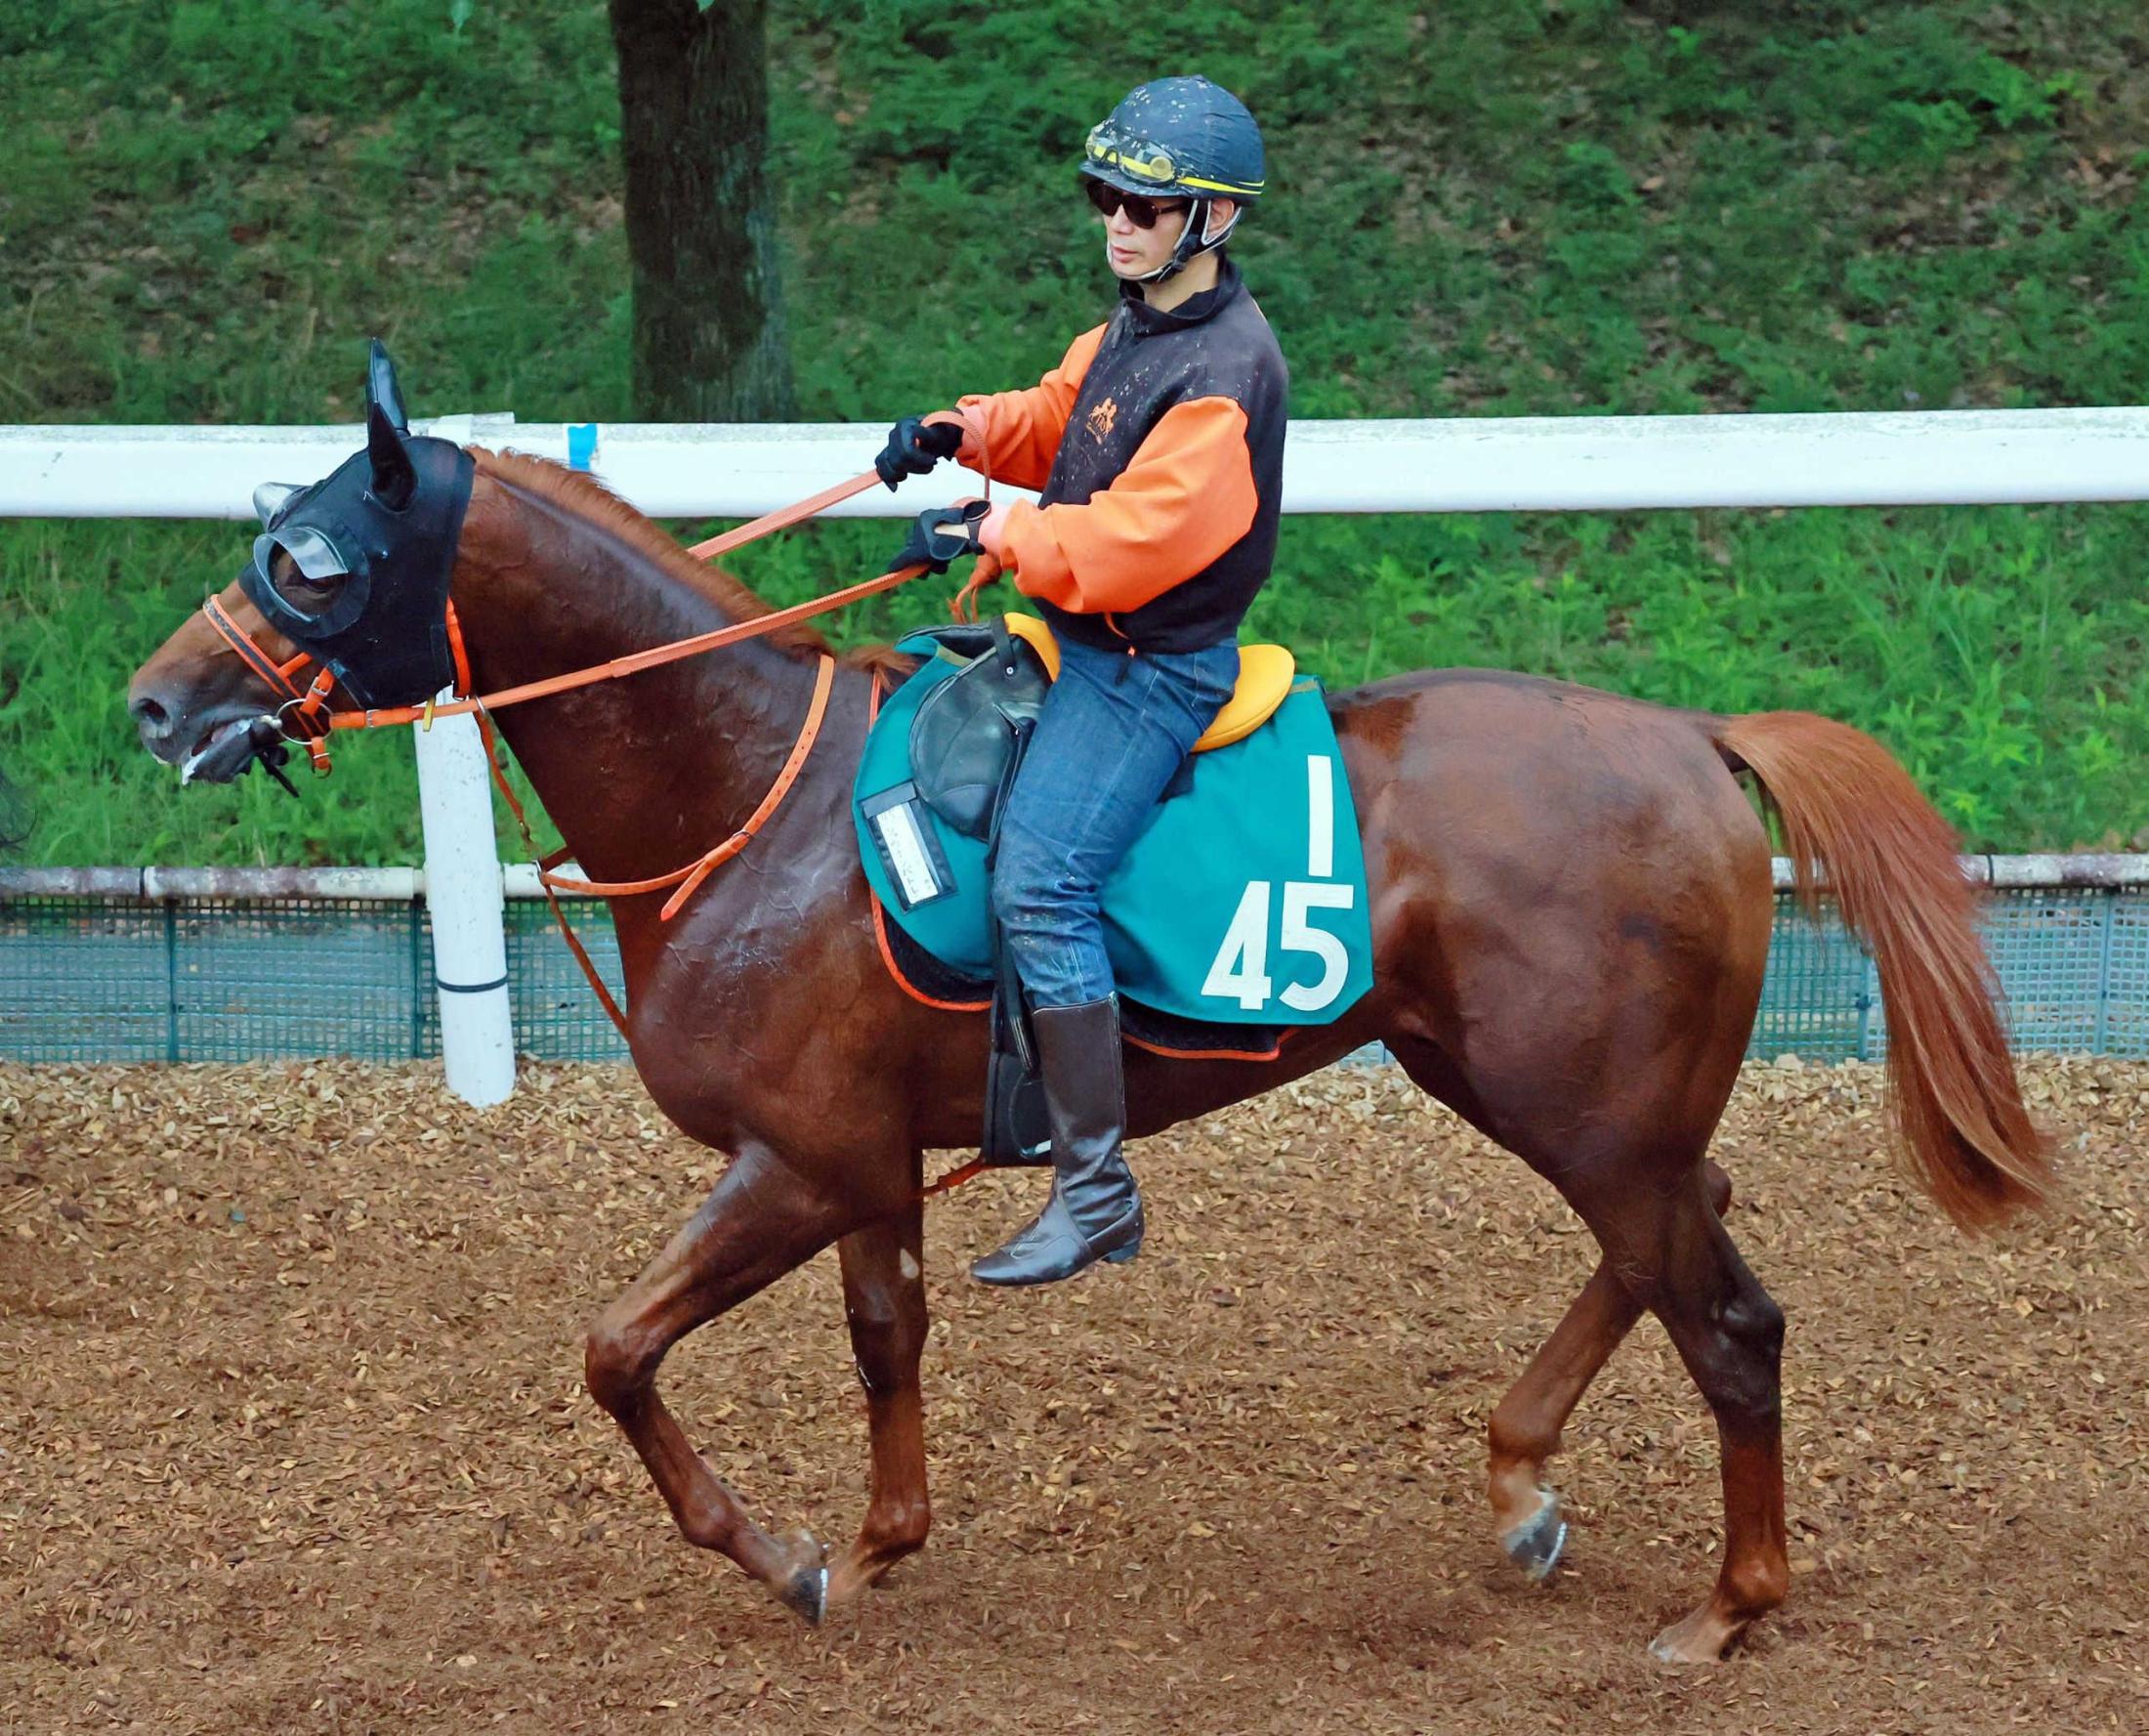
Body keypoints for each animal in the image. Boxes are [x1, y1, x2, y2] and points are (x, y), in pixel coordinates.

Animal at [126, 413, 2052, 1664]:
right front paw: (879, 1546)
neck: (754, 799)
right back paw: (1519, 1482)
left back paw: (1729, 1608)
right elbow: (884, 1339)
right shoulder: (862, 1163)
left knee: (1729, 1318)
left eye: (312, 560)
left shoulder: (794, 1161)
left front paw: (784, 1557)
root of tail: (1693, 739)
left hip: (1581, 1110)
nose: (155, 702)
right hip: (1557, 1100)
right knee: (1671, 1249)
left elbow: (615, 1351)